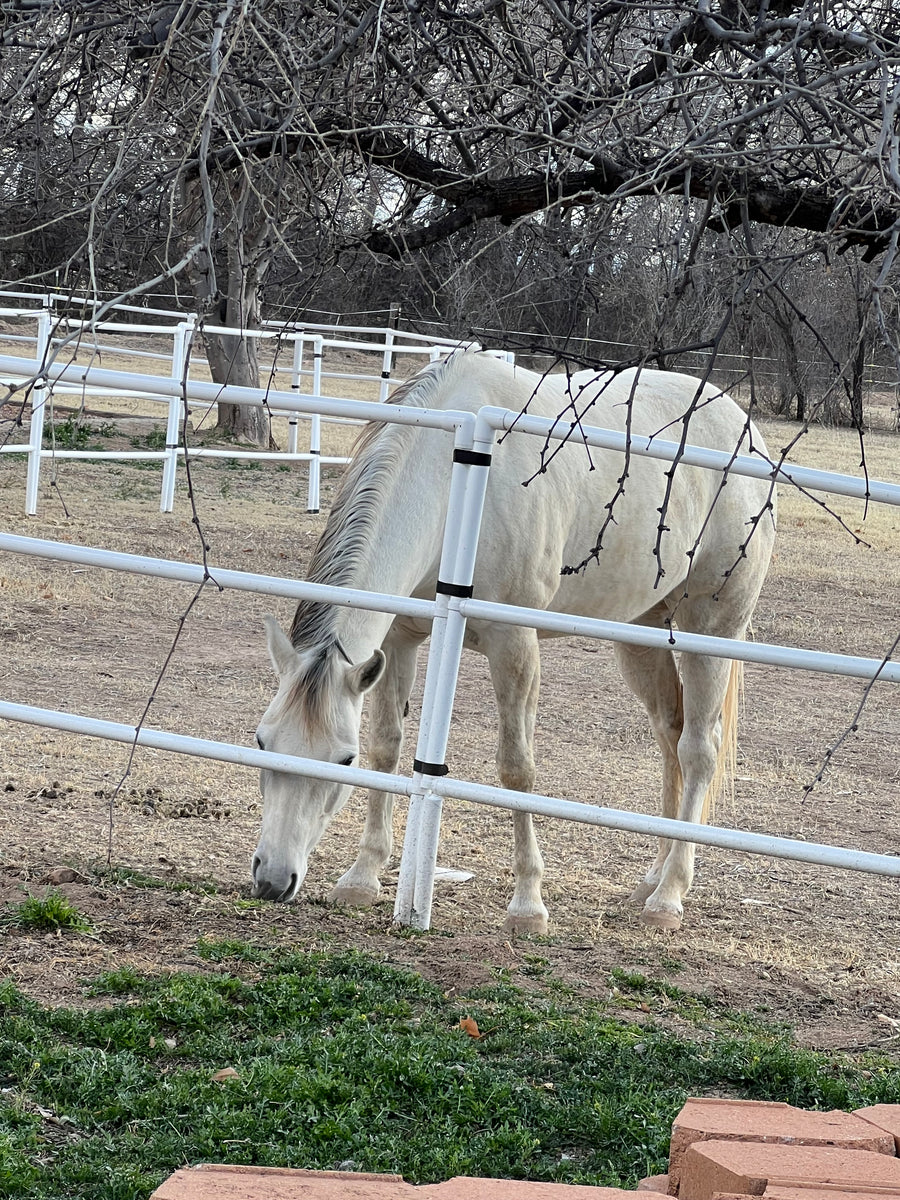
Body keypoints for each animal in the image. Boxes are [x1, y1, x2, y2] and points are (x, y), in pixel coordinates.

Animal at [251, 351, 776, 931]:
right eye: (262, 742)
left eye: (340, 761)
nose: (272, 878)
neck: (457, 482)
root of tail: (745, 428)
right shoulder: (403, 638)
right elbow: (387, 748)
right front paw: (362, 878)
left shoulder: (515, 645)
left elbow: (516, 768)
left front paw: (528, 905)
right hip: (641, 637)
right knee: (671, 738)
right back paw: (652, 879)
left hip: (713, 633)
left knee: (699, 750)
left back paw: (669, 896)